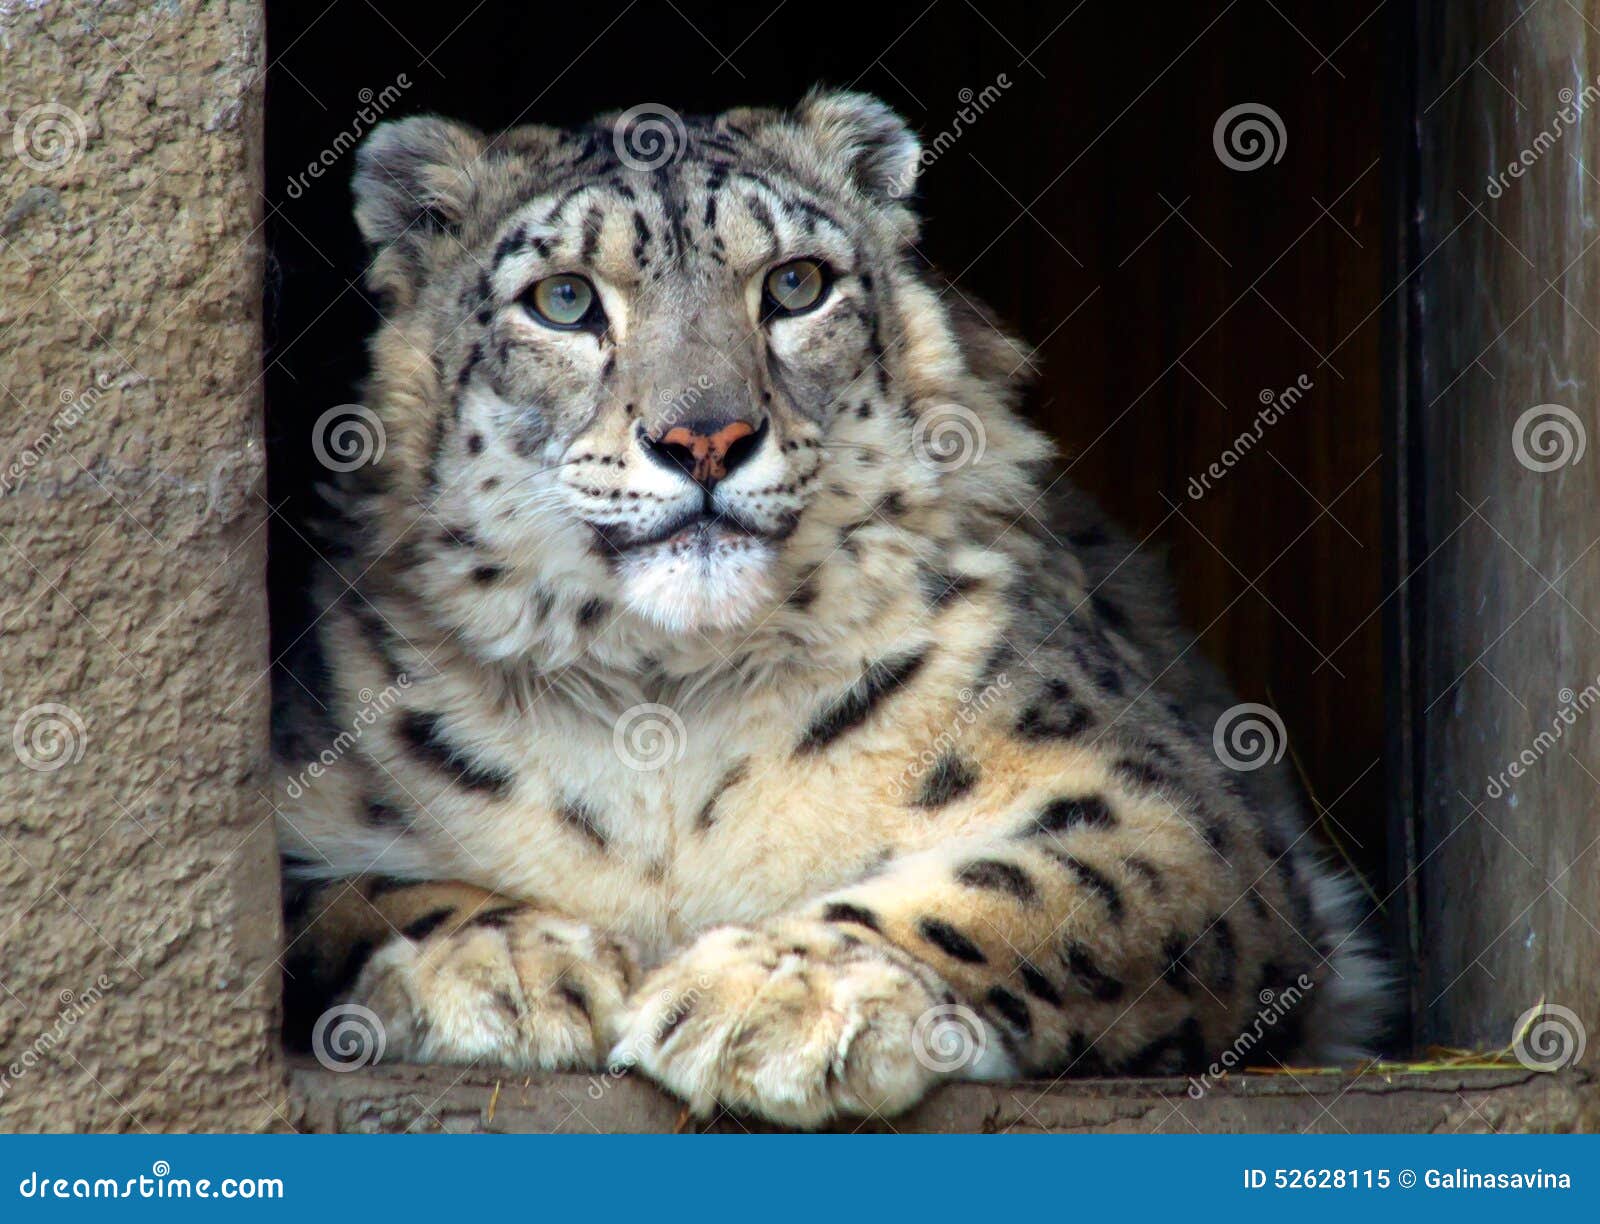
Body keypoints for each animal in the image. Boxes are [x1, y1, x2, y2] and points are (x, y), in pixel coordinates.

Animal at [272, 89, 1386, 1129]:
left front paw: (780, 995)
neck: (664, 706)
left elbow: (1037, 894)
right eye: (563, 299)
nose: (706, 438)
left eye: (796, 284)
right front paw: (508, 964)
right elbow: (340, 894)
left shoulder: (1164, 806)